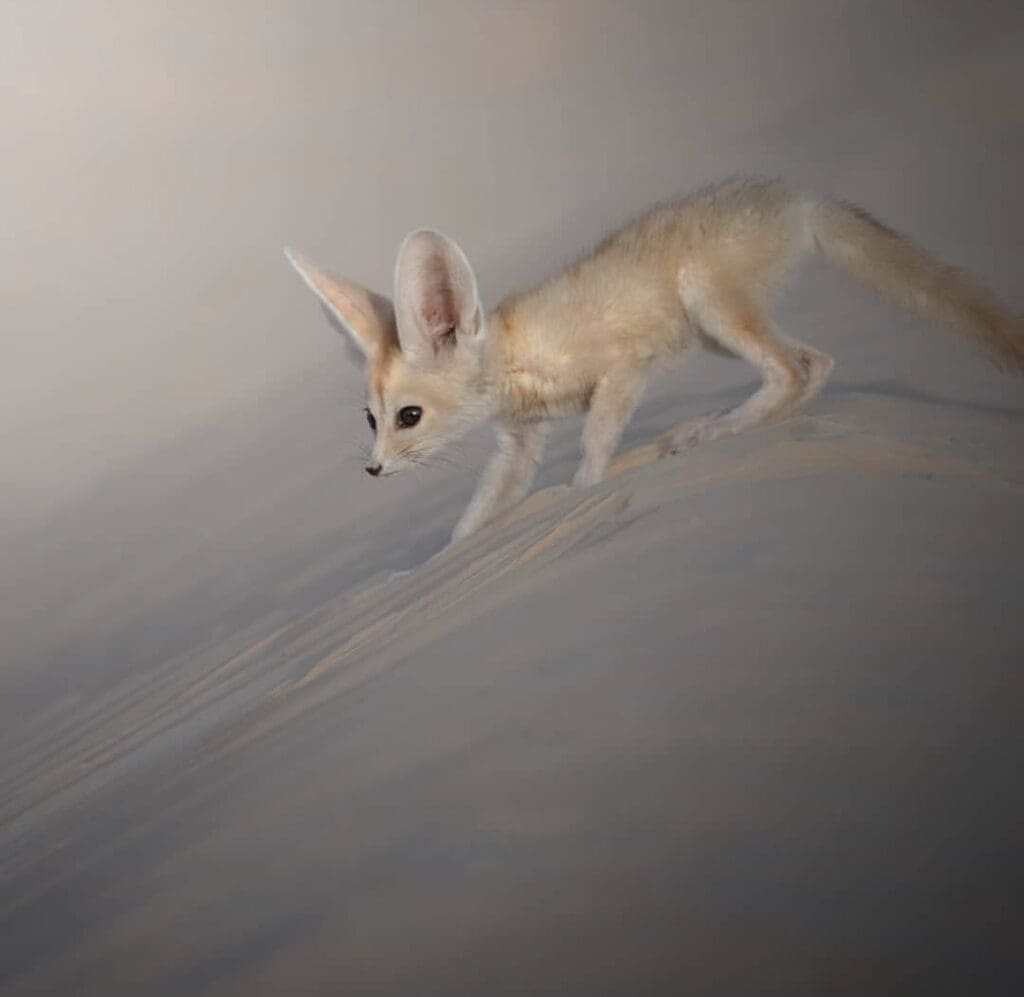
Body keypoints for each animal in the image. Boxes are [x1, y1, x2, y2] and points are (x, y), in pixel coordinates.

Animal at [285, 177, 1023, 563]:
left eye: (409, 417)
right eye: (370, 419)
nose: (373, 469)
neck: (513, 349)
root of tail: (798, 197)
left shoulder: (620, 372)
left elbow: (593, 448)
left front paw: (585, 492)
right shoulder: (519, 442)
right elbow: (478, 512)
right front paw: (434, 567)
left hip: (711, 307)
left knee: (790, 369)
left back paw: (706, 432)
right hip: (722, 332)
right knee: (817, 363)